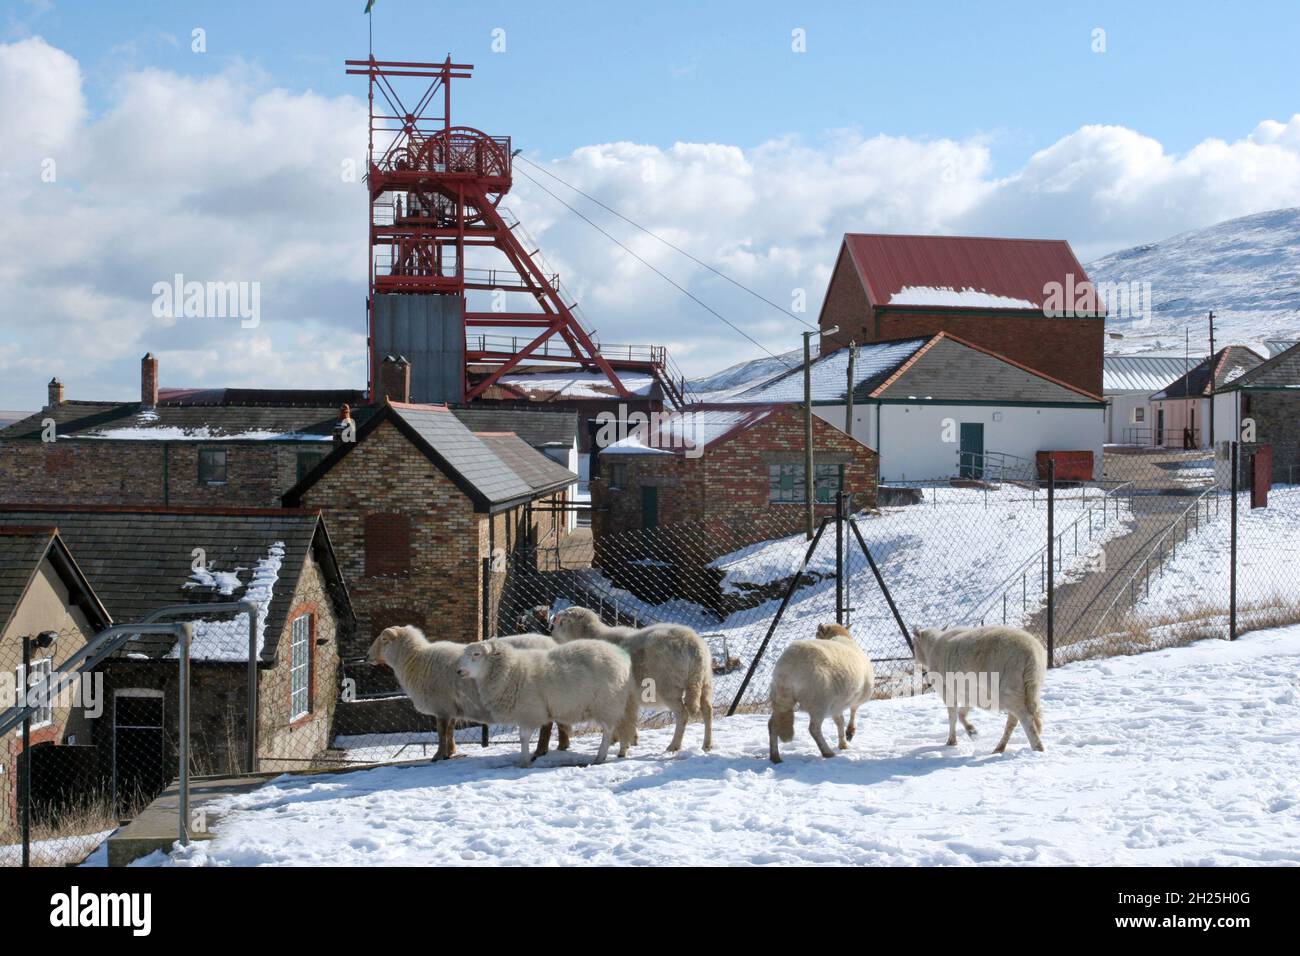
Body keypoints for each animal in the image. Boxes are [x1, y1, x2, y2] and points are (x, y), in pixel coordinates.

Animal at [365, 627, 570, 761]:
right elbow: (450, 731)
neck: (416, 660)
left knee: (547, 724)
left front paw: (438, 756)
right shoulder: (451, 707)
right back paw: (562, 746)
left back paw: (541, 750)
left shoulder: (442, 706)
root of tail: (552, 644)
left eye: (384, 640)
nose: (367, 656)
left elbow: (441, 732)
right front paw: (450, 752)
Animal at [457, 638, 640, 768]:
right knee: (621, 726)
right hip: (617, 703)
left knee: (608, 730)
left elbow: (523, 738)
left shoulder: (529, 712)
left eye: (476, 654)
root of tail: (623, 659)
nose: (458, 671)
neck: (512, 671)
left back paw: (600, 757)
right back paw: (620, 751)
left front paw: (524, 761)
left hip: (607, 703)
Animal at [550, 606, 714, 753]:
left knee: (682, 714)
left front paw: (616, 740)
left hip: (669, 685)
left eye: (559, 621)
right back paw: (707, 745)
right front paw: (630, 740)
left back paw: (674, 745)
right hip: (703, 680)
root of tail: (693, 645)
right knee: (707, 710)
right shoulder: (628, 697)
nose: (552, 636)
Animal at [767, 623, 874, 763]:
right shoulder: (857, 697)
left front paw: (843, 743)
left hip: (780, 698)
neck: (841, 636)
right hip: (819, 701)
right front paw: (850, 732)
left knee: (772, 725)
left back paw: (775, 757)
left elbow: (840, 721)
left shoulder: (837, 704)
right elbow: (853, 710)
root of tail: (789, 667)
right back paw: (827, 752)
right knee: (814, 729)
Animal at [911, 625, 1045, 753]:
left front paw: (952, 741)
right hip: (1027, 690)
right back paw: (999, 748)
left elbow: (953, 717)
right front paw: (972, 731)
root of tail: (1031, 654)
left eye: (914, 644)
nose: (915, 660)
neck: (931, 647)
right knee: (1014, 721)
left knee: (1025, 719)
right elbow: (961, 714)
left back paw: (1037, 748)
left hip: (1009, 691)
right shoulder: (968, 694)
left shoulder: (948, 692)